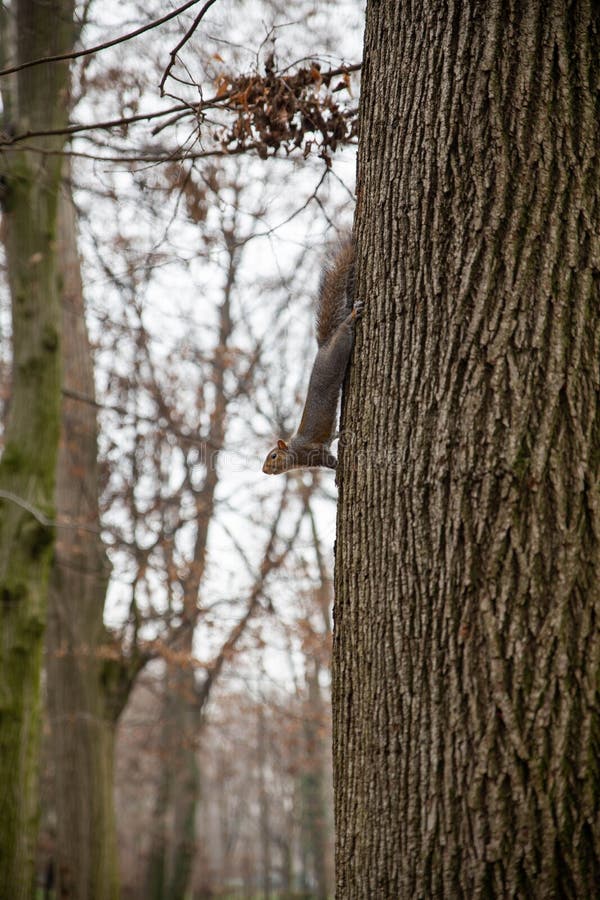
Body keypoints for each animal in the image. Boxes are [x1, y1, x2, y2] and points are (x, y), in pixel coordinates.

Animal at [262, 239, 362, 475]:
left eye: (273, 456)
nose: (263, 470)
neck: (294, 453)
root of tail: (323, 347)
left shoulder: (313, 453)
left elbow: (330, 461)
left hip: (339, 350)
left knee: (344, 331)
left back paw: (353, 316)